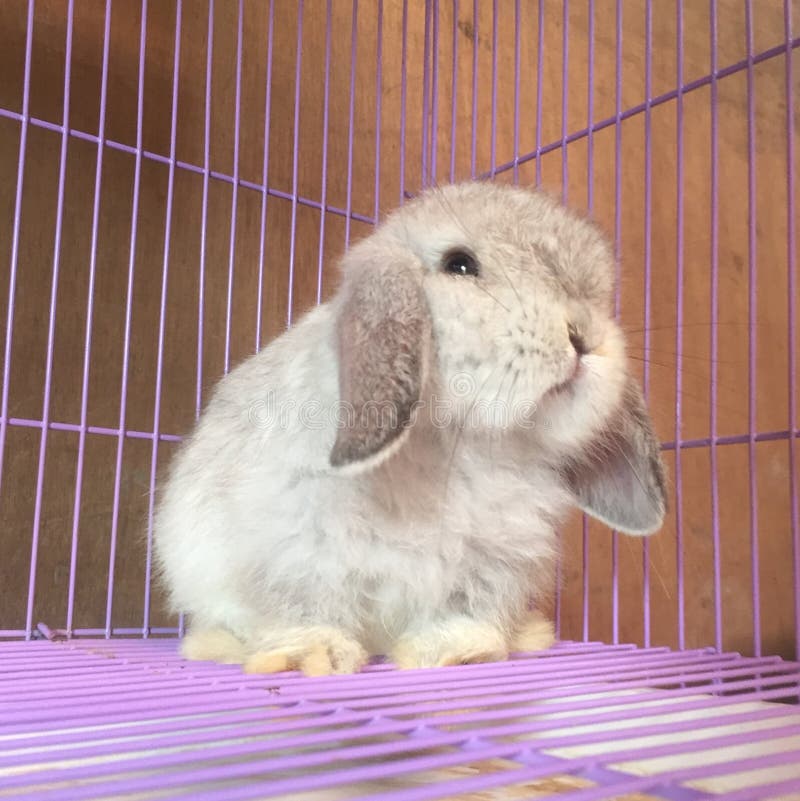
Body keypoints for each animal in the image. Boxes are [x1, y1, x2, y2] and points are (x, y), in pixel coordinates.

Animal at [153, 181, 667, 676]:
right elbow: (303, 607)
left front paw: (460, 651)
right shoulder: (294, 551)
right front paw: (311, 656)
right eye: (460, 264)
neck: (457, 441)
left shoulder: (494, 561)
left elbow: (466, 609)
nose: (585, 336)